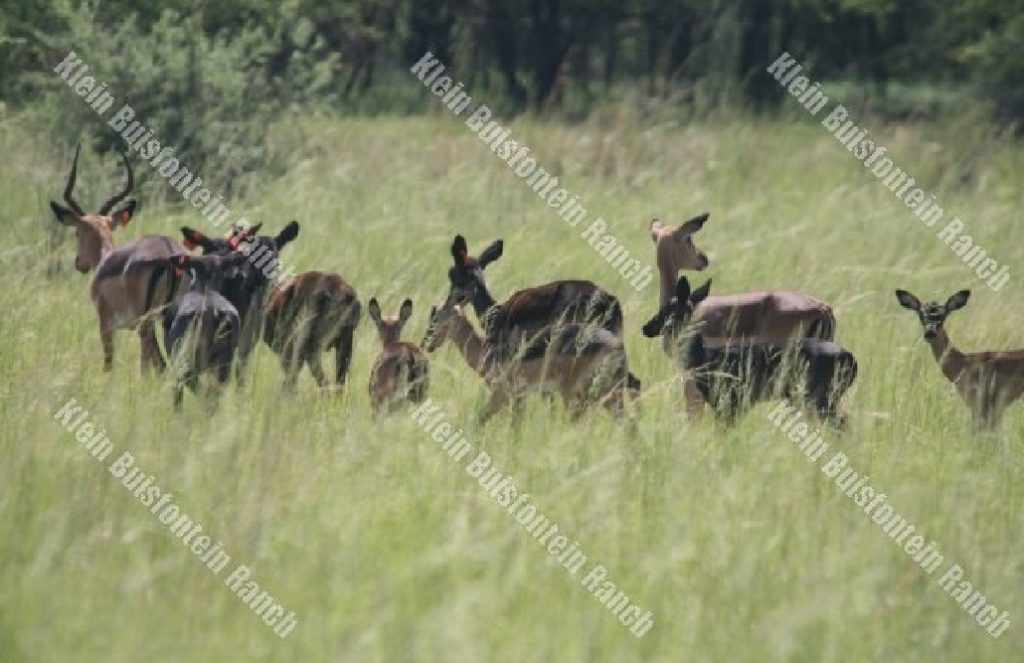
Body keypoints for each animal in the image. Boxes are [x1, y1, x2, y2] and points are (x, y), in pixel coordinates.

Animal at [50, 144, 187, 372]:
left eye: (77, 232)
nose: (79, 263)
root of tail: (169, 253)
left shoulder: (105, 323)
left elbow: (109, 364)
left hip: (146, 324)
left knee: (149, 366)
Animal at [423, 303, 632, 423]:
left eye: (437, 321)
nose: (426, 345)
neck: (487, 352)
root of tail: (615, 344)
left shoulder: (504, 394)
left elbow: (481, 419)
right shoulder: (519, 397)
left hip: (577, 395)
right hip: (609, 393)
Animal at [643, 277, 857, 424]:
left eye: (666, 309)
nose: (646, 327)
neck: (705, 356)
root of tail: (850, 358)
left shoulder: (728, 406)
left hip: (819, 400)